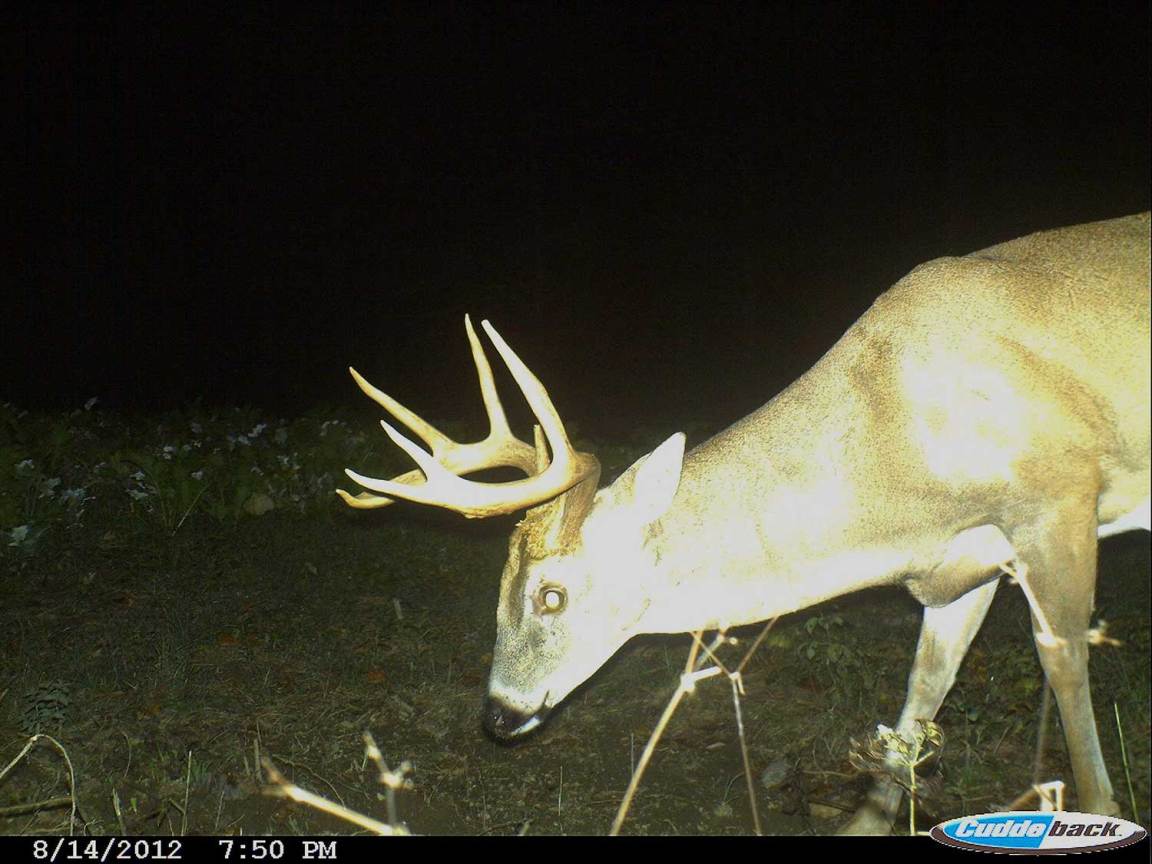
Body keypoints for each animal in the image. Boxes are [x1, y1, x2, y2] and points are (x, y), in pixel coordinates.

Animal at [339, 212, 1150, 833]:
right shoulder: (964, 563)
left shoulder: (1059, 499)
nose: (500, 715)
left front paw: (1103, 805)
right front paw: (867, 819)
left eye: (552, 594)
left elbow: (1065, 670)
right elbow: (922, 697)